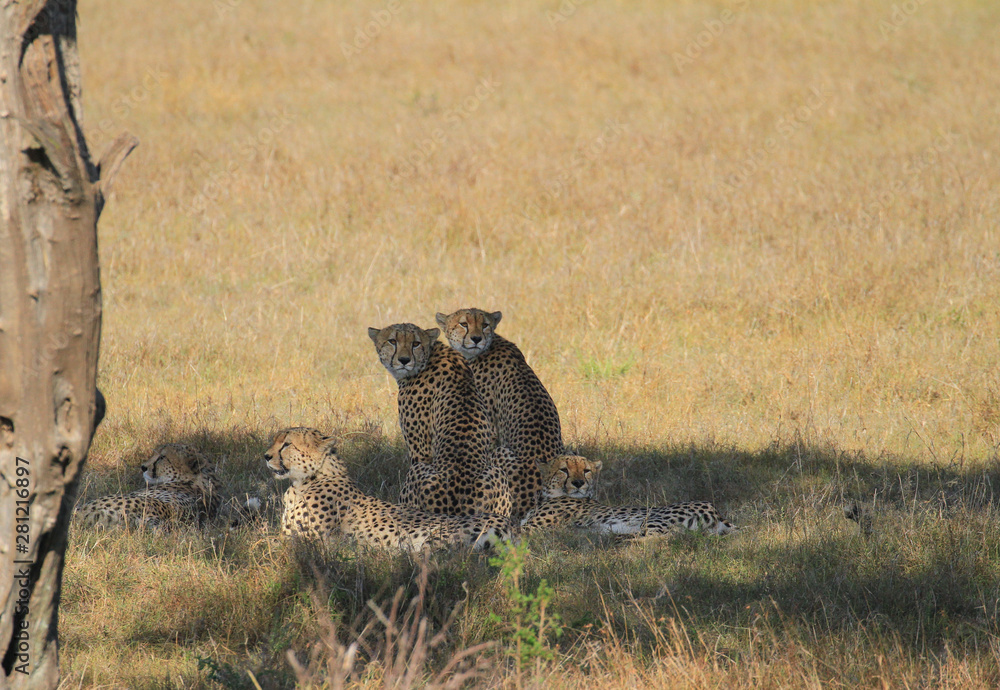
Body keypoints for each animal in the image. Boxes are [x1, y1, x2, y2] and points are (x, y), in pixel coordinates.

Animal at [265, 427, 513, 551]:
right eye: (275, 440)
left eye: (286, 444)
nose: (266, 456)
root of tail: (508, 523)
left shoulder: (309, 541)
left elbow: (263, 543)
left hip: (433, 541)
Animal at [368, 322, 513, 517]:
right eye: (392, 341)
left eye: (415, 343)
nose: (404, 360)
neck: (429, 355)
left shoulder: (420, 452)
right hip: (498, 474)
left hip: (418, 473)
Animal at [521, 455, 735, 537]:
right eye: (564, 469)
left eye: (586, 470)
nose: (579, 483)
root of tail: (715, 509)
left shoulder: (531, 528)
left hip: (653, 519)